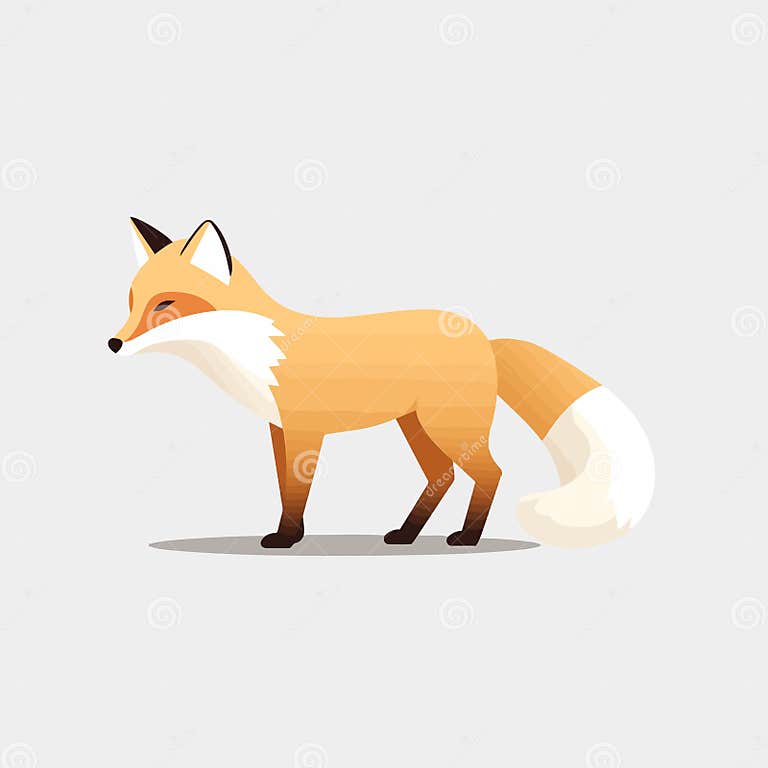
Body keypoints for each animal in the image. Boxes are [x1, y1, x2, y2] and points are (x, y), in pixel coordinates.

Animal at [109, 218, 655, 549]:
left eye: (166, 304)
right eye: (132, 302)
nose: (113, 344)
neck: (256, 345)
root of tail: (482, 334)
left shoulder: (305, 431)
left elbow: (297, 491)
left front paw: (287, 538)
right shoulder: (278, 429)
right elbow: (283, 488)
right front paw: (288, 531)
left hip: (449, 428)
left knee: (492, 472)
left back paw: (467, 538)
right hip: (416, 428)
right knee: (443, 477)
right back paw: (406, 534)